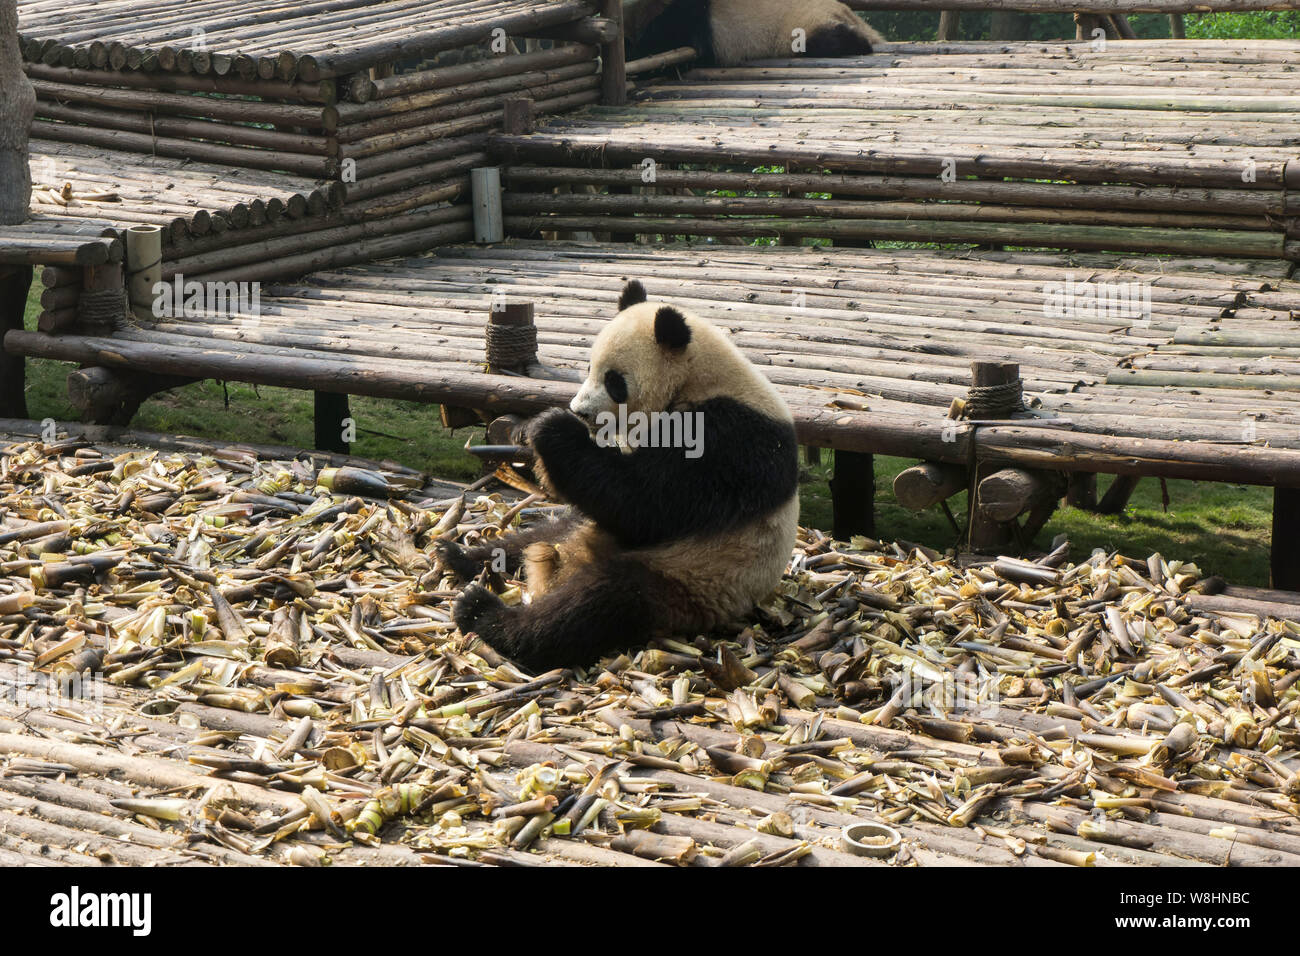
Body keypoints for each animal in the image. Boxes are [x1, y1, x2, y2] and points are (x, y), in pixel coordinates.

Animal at [438, 280, 800, 671]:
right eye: (589, 366)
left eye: (614, 381)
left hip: (688, 580)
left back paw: (485, 614)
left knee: (598, 604)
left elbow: (646, 506)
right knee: (538, 536)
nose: (580, 411)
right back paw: (461, 555)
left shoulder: (727, 444)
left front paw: (552, 428)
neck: (696, 379)